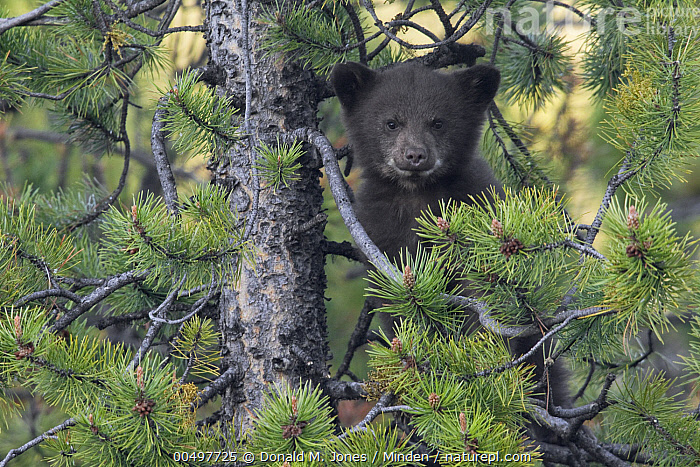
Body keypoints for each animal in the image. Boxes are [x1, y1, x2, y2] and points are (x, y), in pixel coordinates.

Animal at [330, 61, 571, 440]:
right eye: (391, 122)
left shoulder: (475, 218)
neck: (417, 197)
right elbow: (399, 309)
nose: (415, 155)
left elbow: (481, 300)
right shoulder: (382, 238)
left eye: (438, 122)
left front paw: (475, 363)